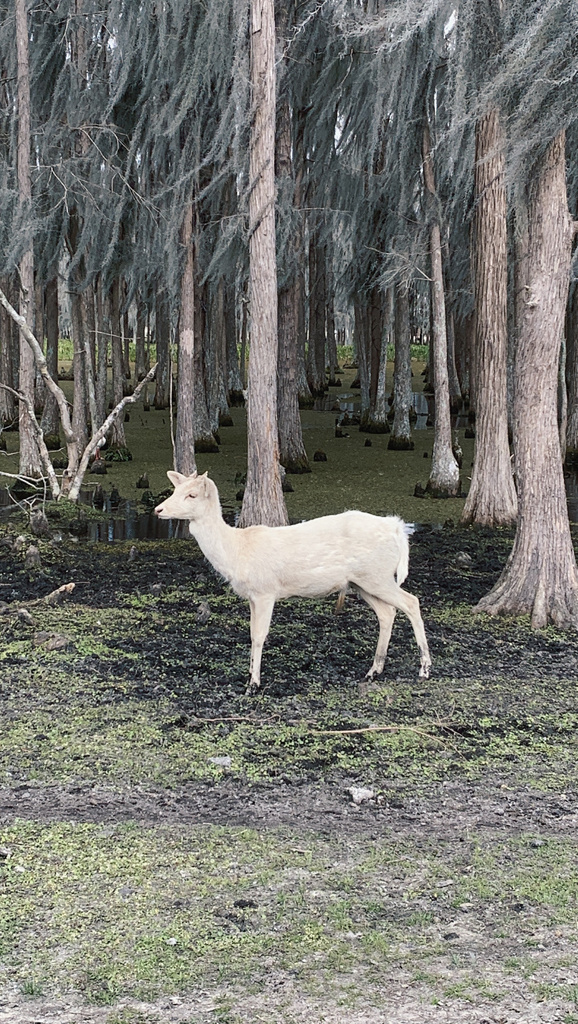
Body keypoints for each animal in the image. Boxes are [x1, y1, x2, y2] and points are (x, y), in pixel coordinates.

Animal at [155, 471, 431, 692]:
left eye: (192, 495)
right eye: (175, 490)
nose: (158, 510)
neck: (236, 552)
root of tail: (397, 529)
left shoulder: (265, 591)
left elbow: (259, 635)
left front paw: (254, 684)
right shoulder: (253, 596)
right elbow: (251, 633)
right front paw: (249, 675)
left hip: (377, 576)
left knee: (412, 602)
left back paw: (424, 669)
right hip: (364, 582)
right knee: (388, 613)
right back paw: (374, 671)